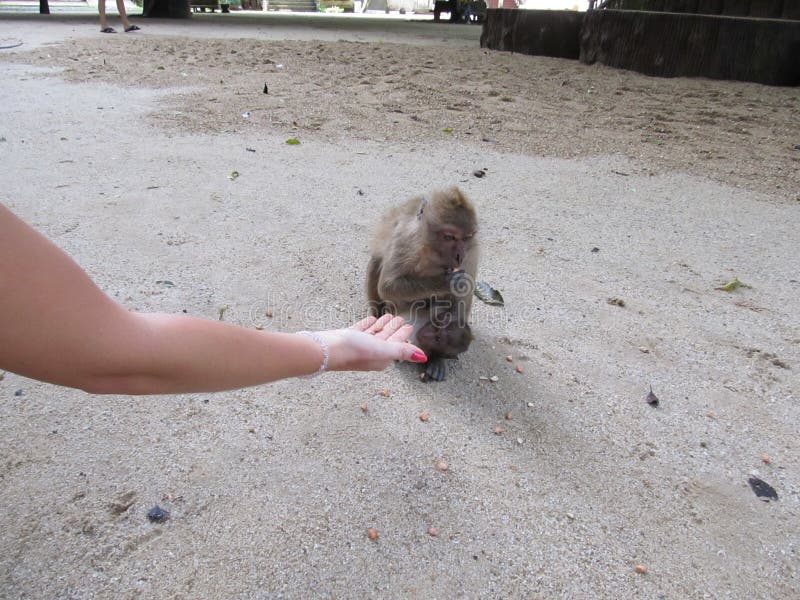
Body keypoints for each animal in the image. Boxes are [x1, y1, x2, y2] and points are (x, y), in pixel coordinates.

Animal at [366, 187, 478, 381]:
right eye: (450, 237)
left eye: (466, 238)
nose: (459, 256)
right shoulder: (405, 237)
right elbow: (388, 286)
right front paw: (447, 282)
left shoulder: (472, 252)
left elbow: (462, 296)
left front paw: (439, 355)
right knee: (376, 260)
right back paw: (378, 314)